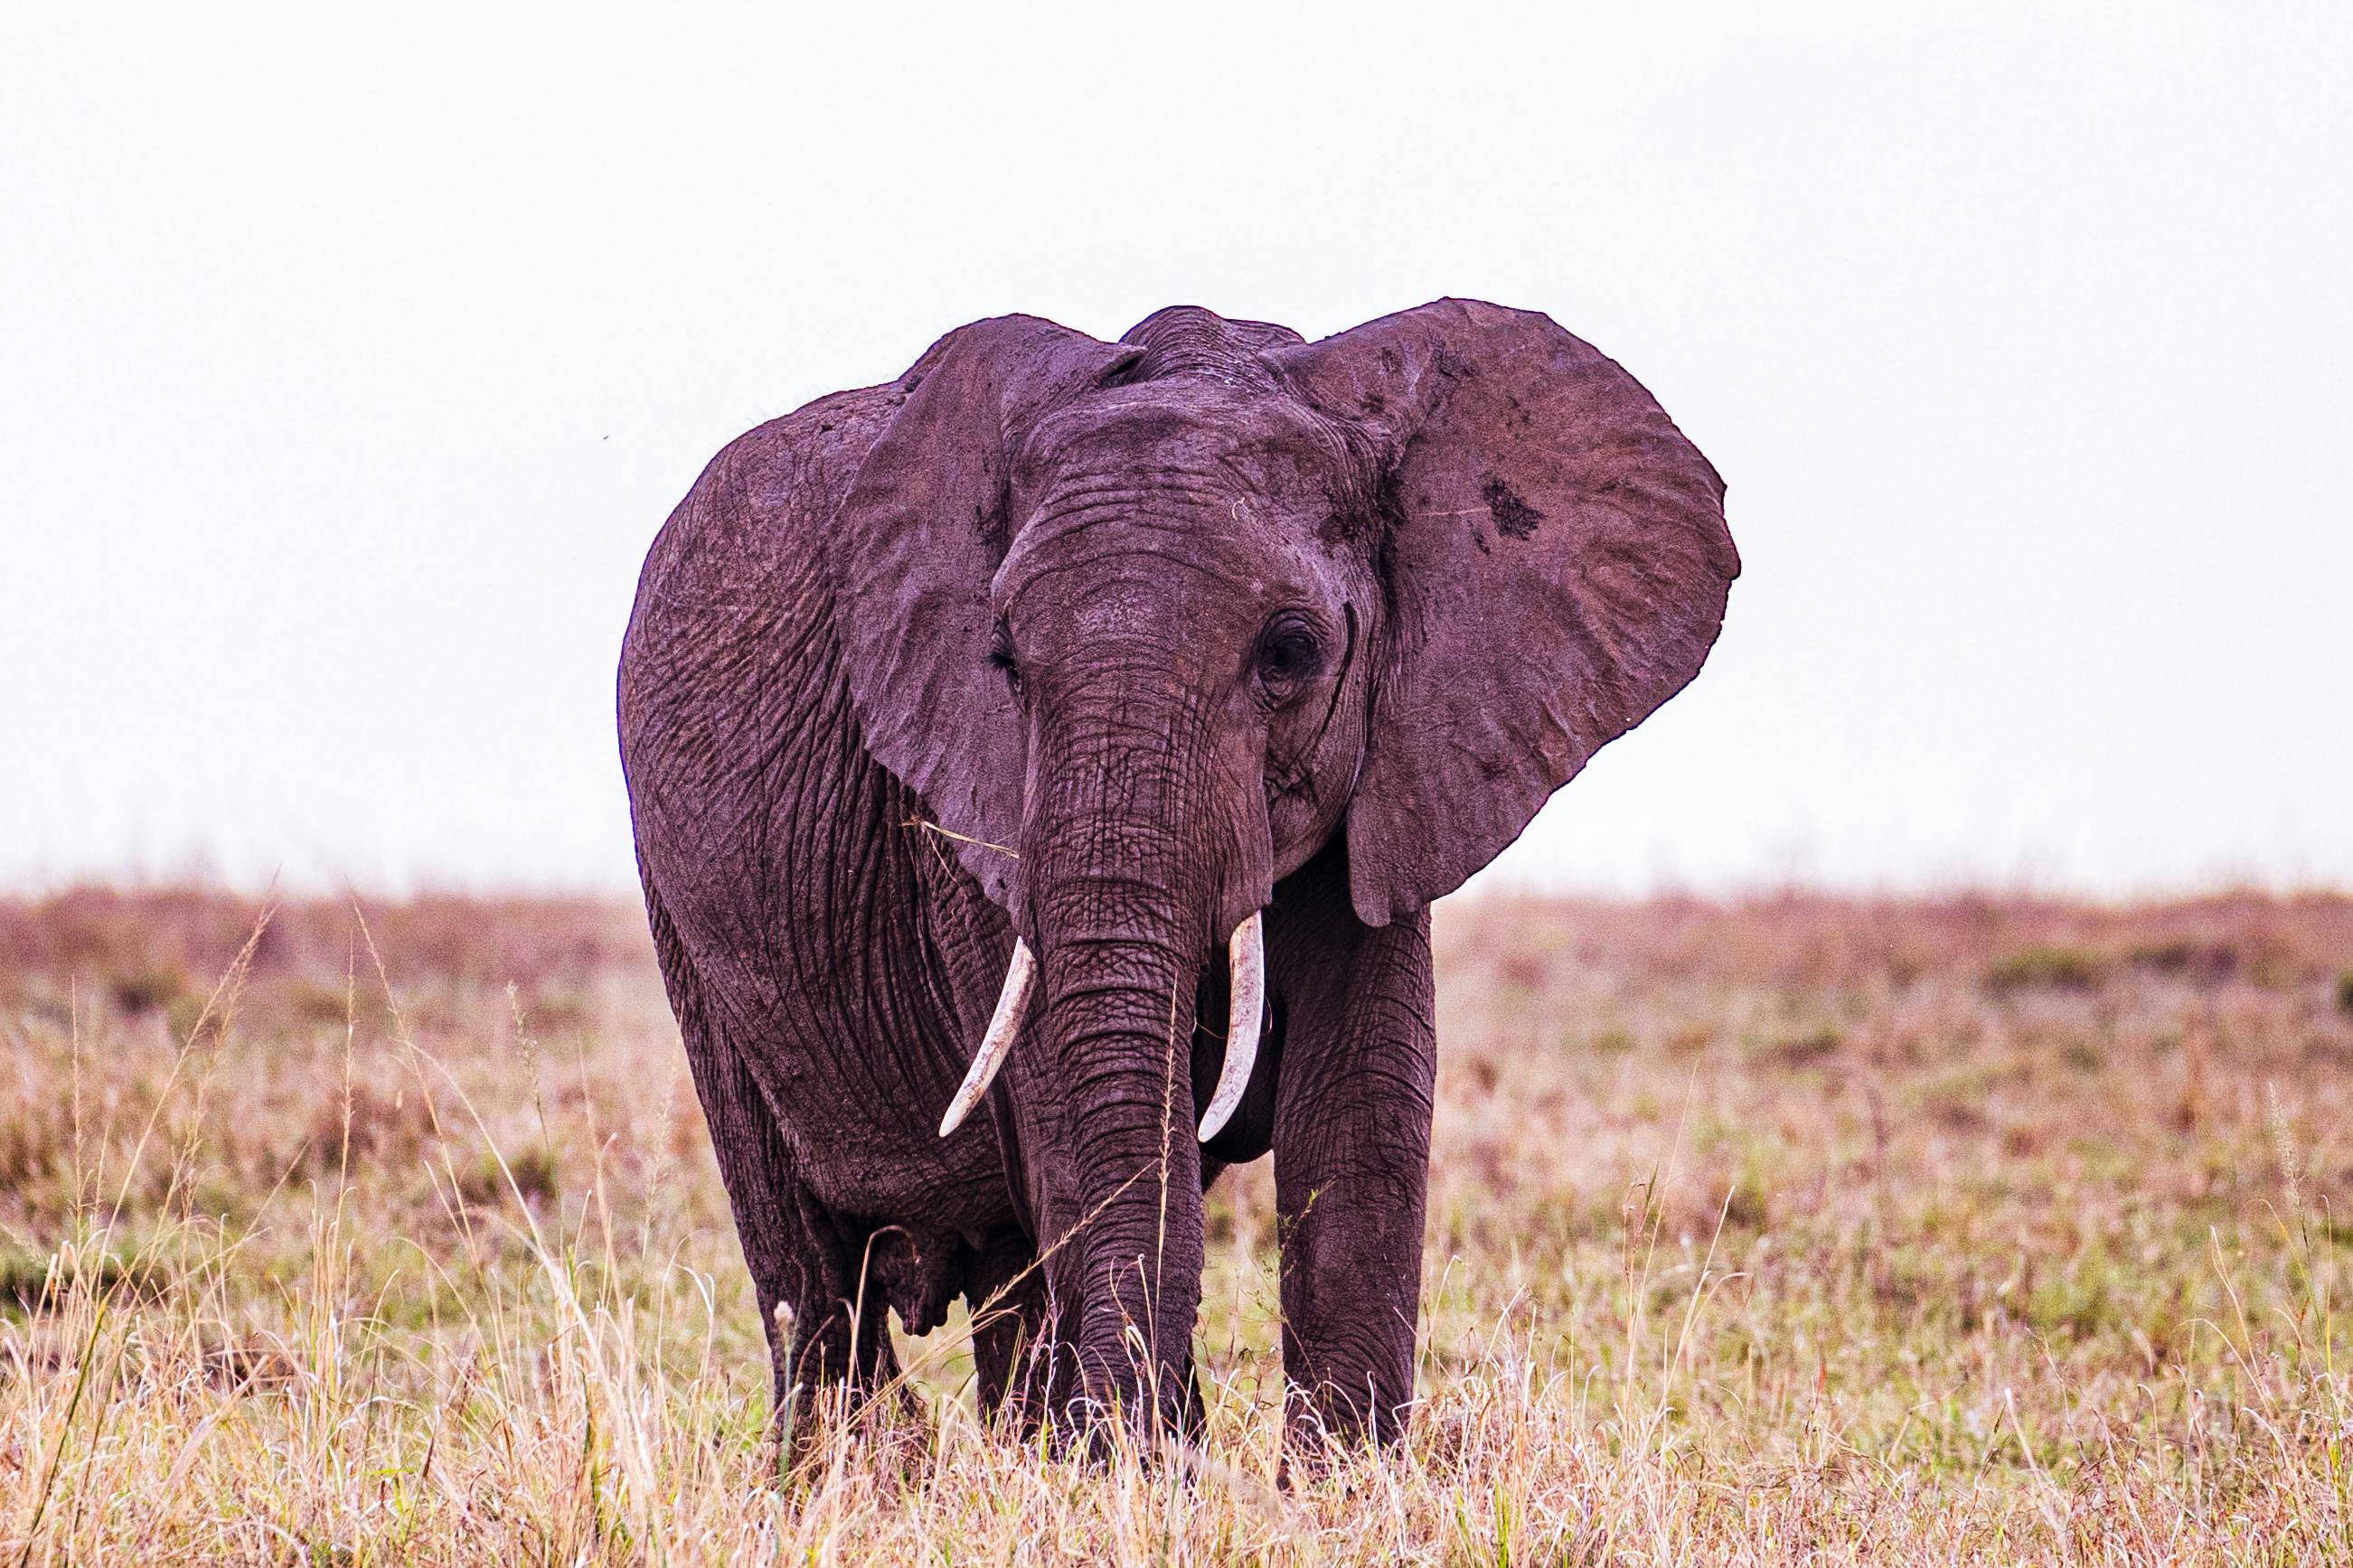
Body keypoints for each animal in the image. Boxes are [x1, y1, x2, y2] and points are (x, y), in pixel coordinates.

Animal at [617, 298, 1736, 1453]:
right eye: (1003, 659)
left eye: (1289, 651)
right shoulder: (967, 805)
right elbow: (1078, 1110)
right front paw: (1128, 1469)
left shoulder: (1396, 766)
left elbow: (1362, 1101)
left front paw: (1336, 1481)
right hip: (686, 918)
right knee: (808, 1264)